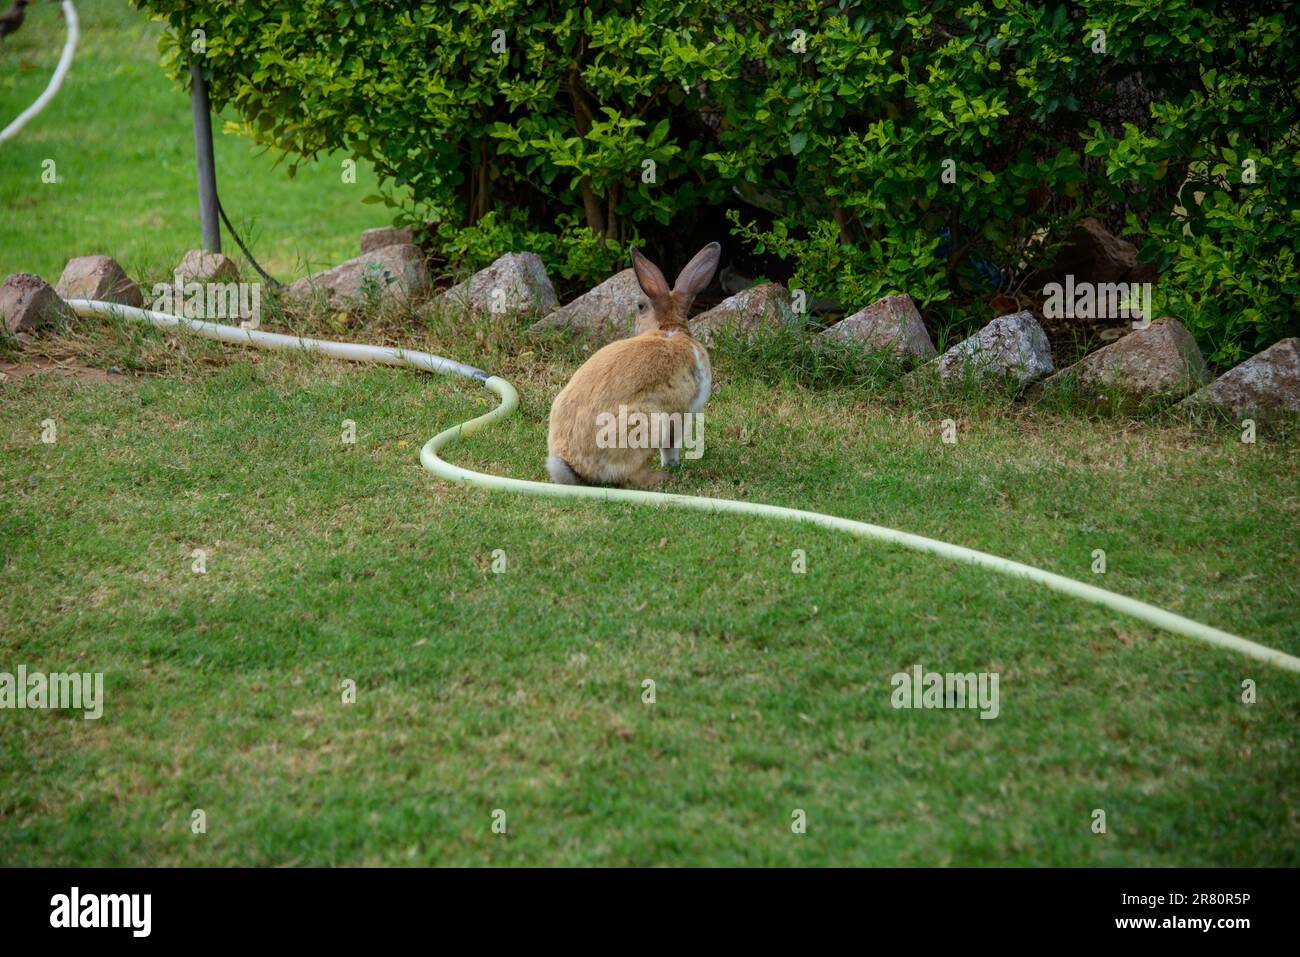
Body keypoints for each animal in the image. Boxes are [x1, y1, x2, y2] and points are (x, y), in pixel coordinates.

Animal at [546, 242, 721, 489]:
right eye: (640, 306)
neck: (671, 329)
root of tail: (573, 466)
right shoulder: (680, 416)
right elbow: (670, 447)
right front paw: (673, 466)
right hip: (650, 421)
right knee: (631, 476)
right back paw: (660, 477)